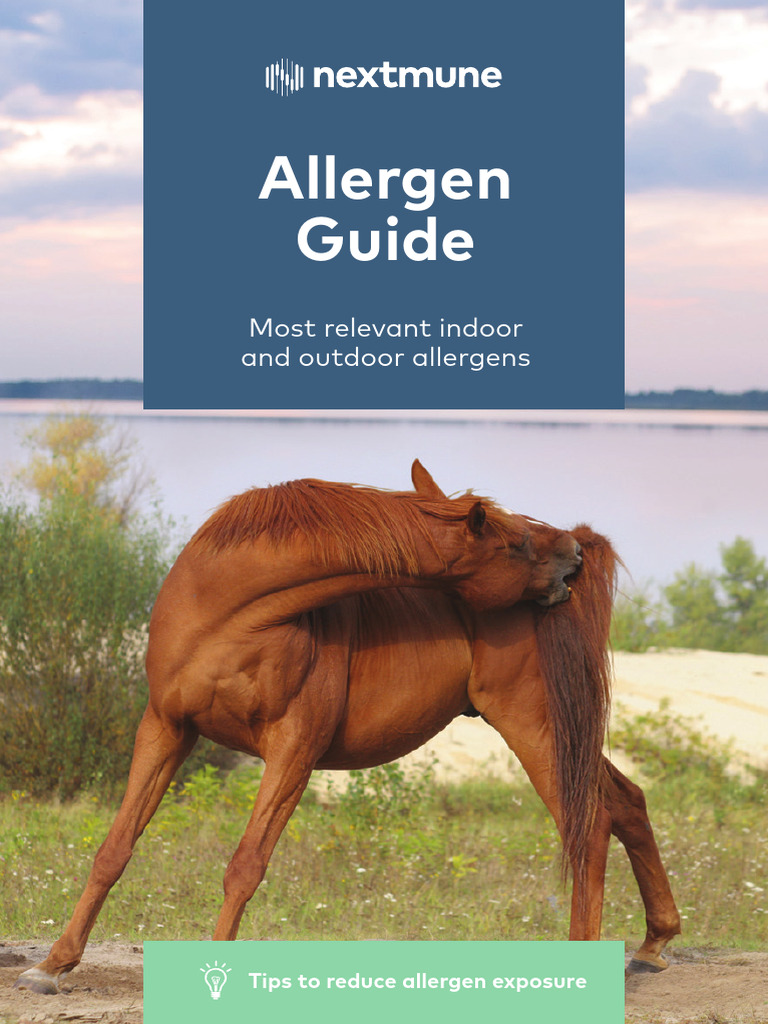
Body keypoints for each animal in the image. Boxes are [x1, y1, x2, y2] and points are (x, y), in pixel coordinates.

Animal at [16, 461, 586, 994]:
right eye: (517, 542)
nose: (575, 552)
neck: (227, 612)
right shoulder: (165, 727)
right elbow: (114, 849)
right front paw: (51, 966)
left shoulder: (294, 749)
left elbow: (245, 866)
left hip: (537, 731)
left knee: (590, 822)